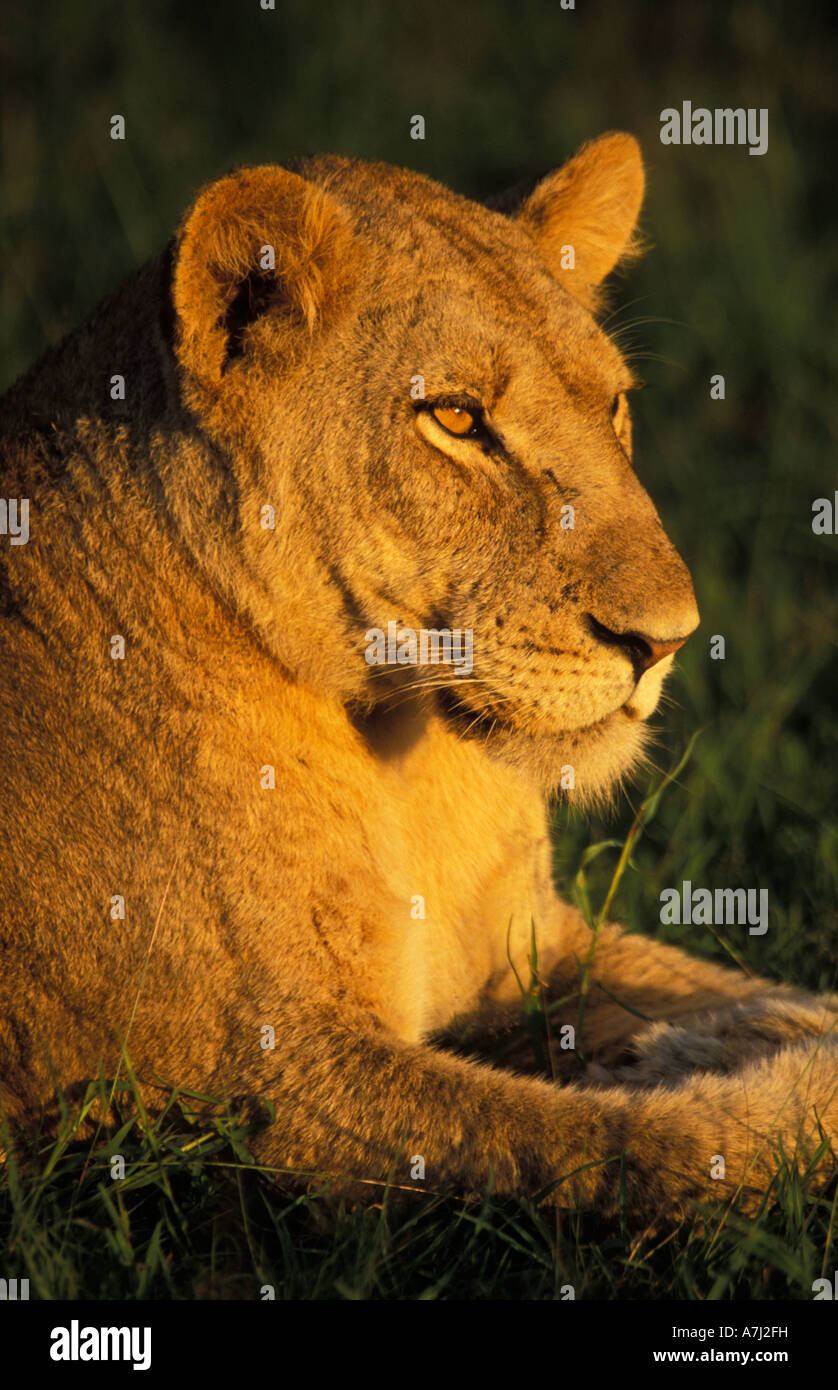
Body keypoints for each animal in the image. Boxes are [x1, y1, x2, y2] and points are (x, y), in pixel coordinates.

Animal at [1, 132, 836, 1221]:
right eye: (456, 417)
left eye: (611, 403)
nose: (664, 640)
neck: (407, 757)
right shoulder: (254, 1082)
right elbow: (635, 1142)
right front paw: (772, 1076)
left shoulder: (534, 945)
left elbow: (705, 981)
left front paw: (752, 1025)